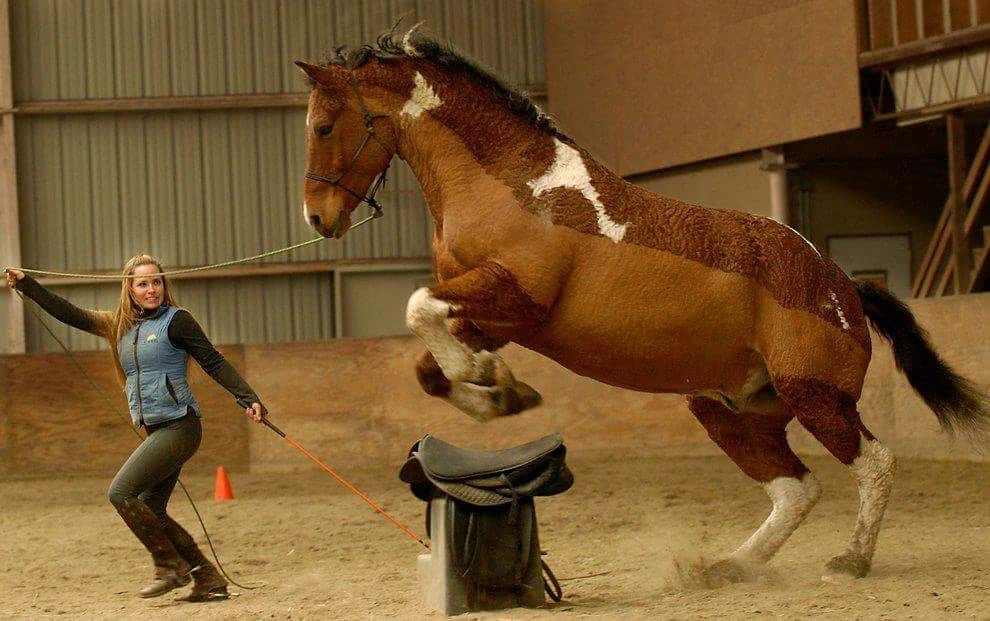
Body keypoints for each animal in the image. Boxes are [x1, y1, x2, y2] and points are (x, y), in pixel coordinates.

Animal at [294, 29, 989, 583]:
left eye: (324, 126)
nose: (318, 217)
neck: (517, 185)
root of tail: (841, 284)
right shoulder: (496, 316)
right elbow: (427, 362)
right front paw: (501, 393)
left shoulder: (516, 295)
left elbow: (418, 308)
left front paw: (486, 381)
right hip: (731, 407)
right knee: (797, 488)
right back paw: (728, 566)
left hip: (816, 393)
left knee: (874, 465)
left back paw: (850, 561)